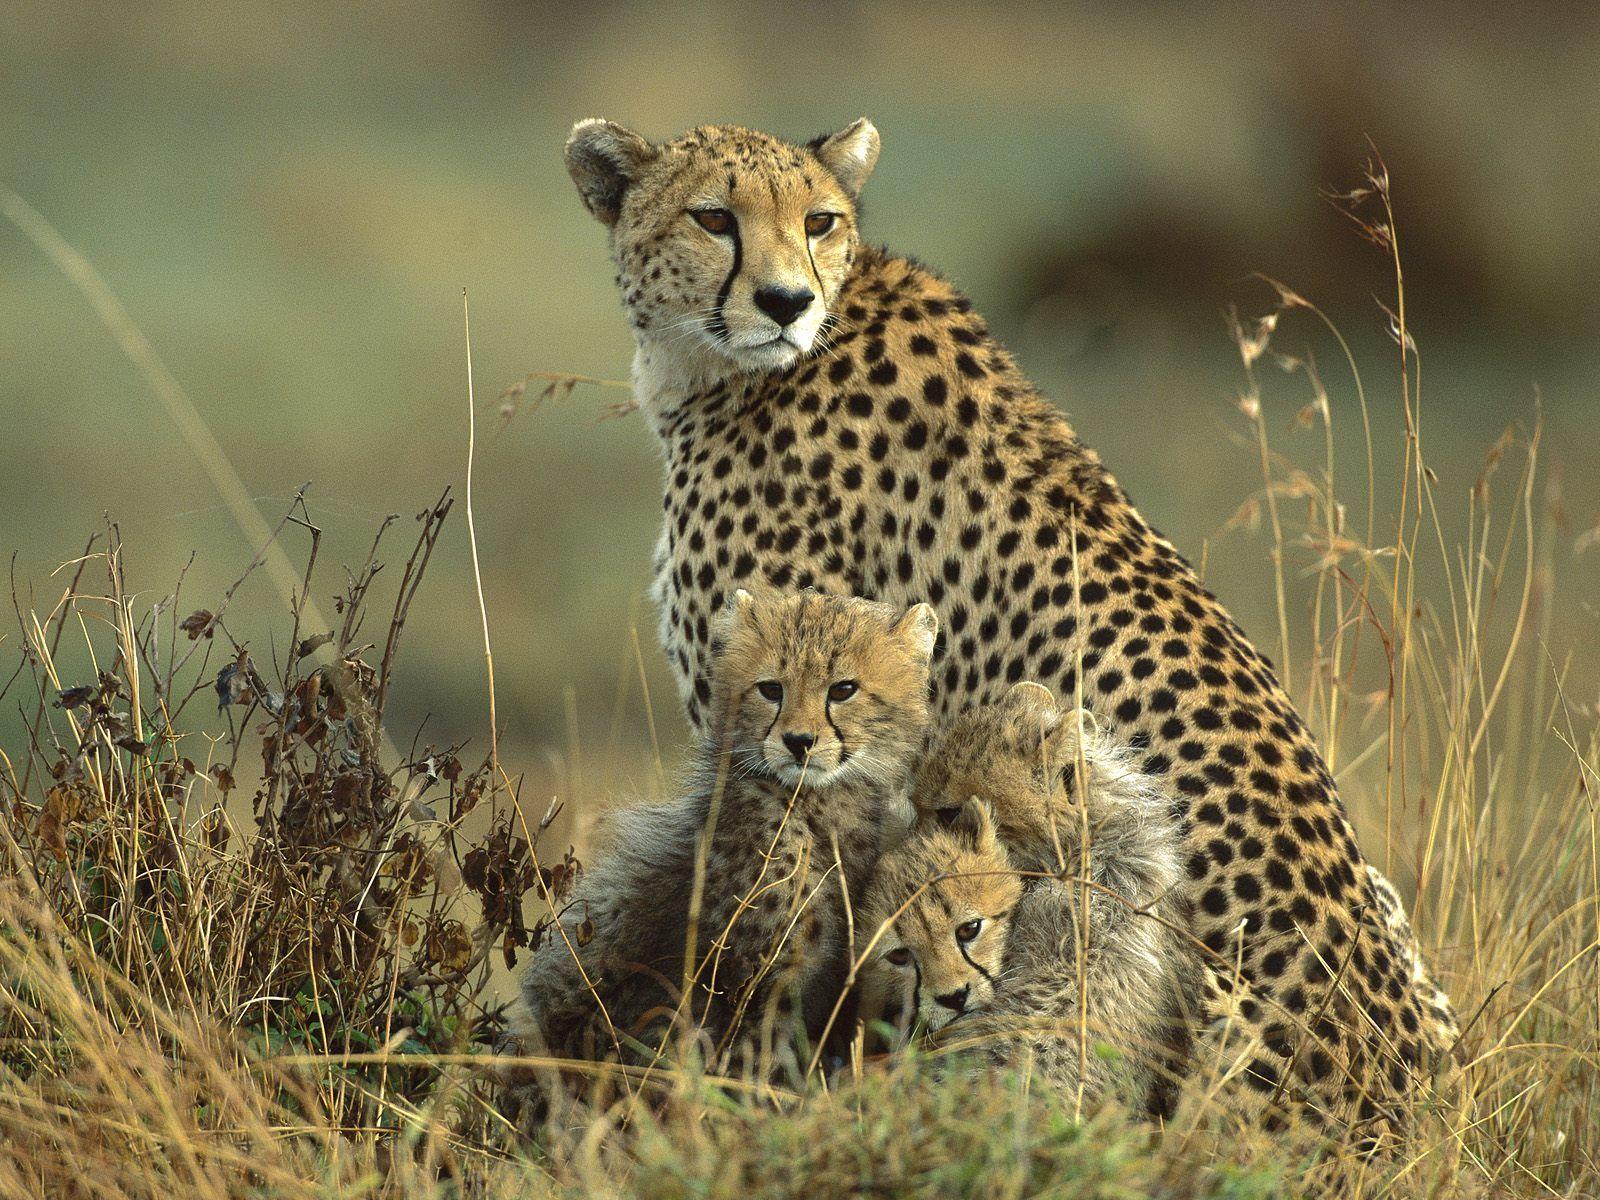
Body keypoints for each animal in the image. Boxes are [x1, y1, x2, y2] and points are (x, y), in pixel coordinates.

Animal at [508, 587, 938, 1107]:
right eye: (771, 689)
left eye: (843, 690)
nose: (798, 741)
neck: (817, 804)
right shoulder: (745, 983)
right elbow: (751, 1067)